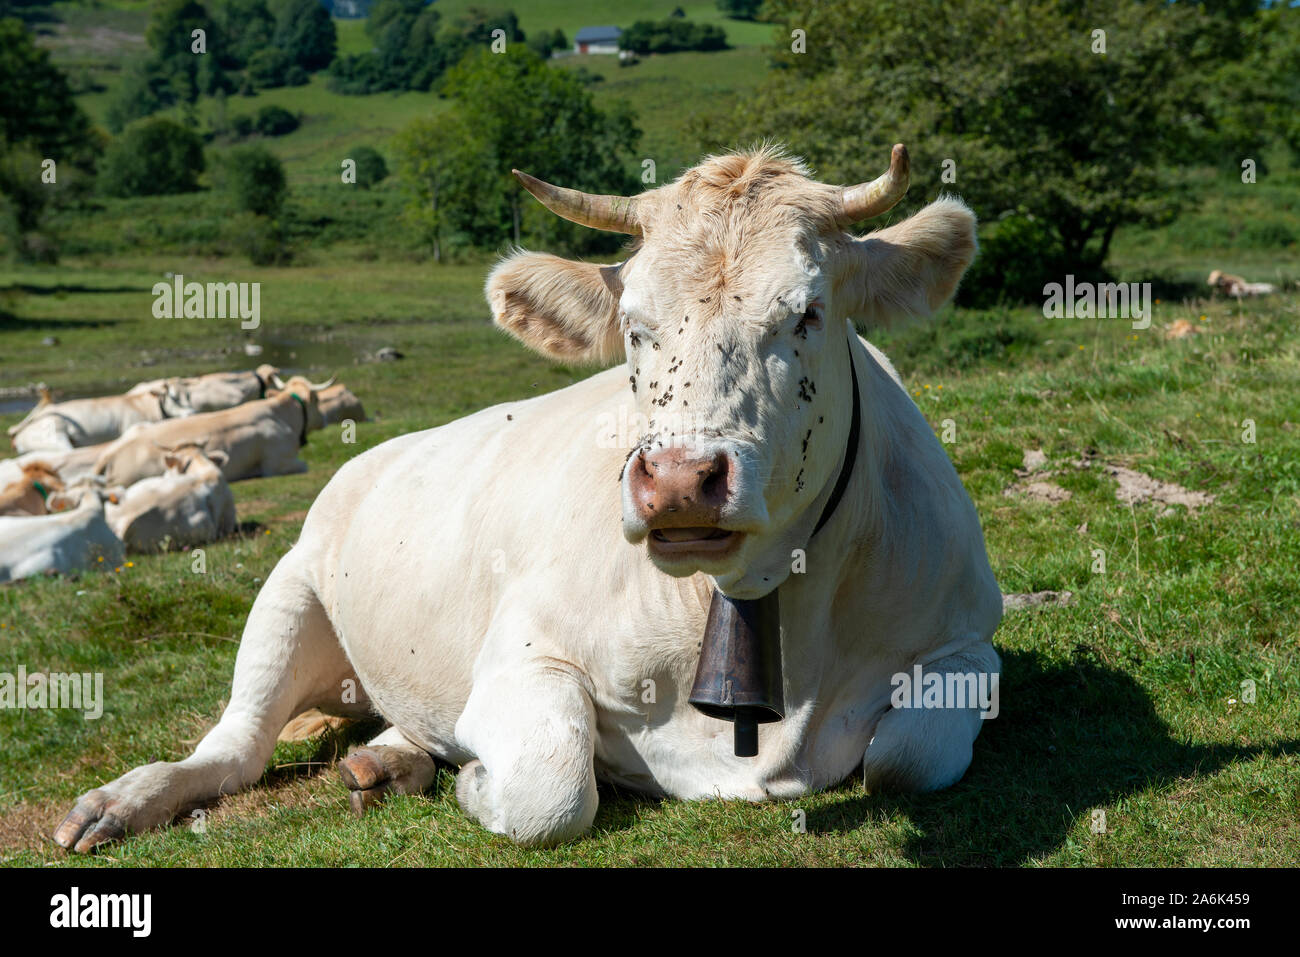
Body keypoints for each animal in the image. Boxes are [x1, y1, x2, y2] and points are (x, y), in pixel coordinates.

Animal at [91, 376, 327, 487]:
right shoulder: (277, 464)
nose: (324, 420)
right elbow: (304, 466)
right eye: (317, 399)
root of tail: (109, 455)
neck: (282, 414)